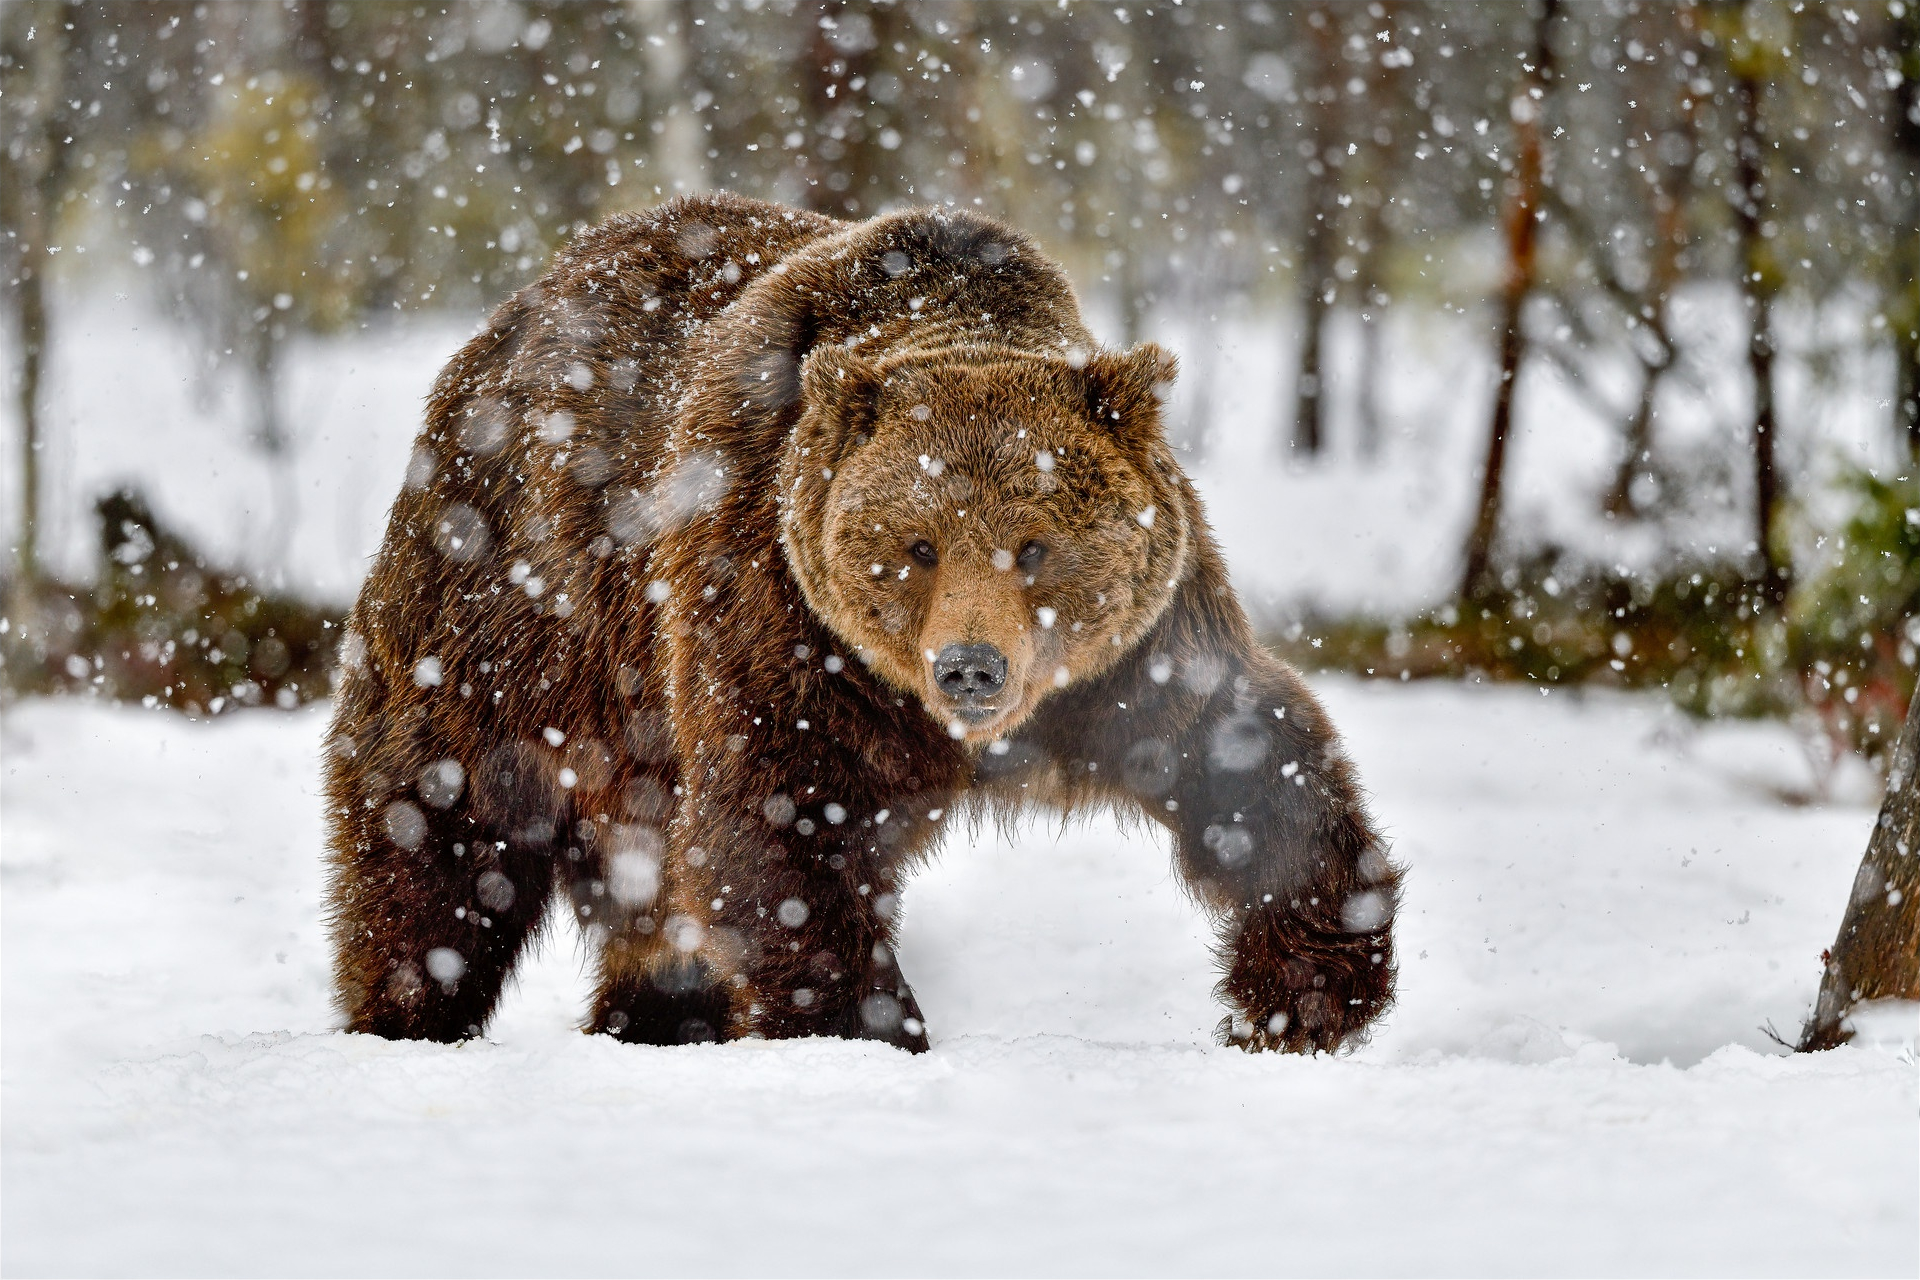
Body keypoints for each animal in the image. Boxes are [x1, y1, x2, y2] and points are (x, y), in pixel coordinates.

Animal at [323, 192, 1400, 1055]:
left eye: (1034, 544)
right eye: (917, 543)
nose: (972, 666)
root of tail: (508, 323)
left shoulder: (1130, 654)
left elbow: (1243, 756)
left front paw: (1307, 988)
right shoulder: (777, 615)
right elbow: (781, 822)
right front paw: (867, 1025)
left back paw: (660, 1015)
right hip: (517, 619)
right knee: (439, 825)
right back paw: (409, 1011)